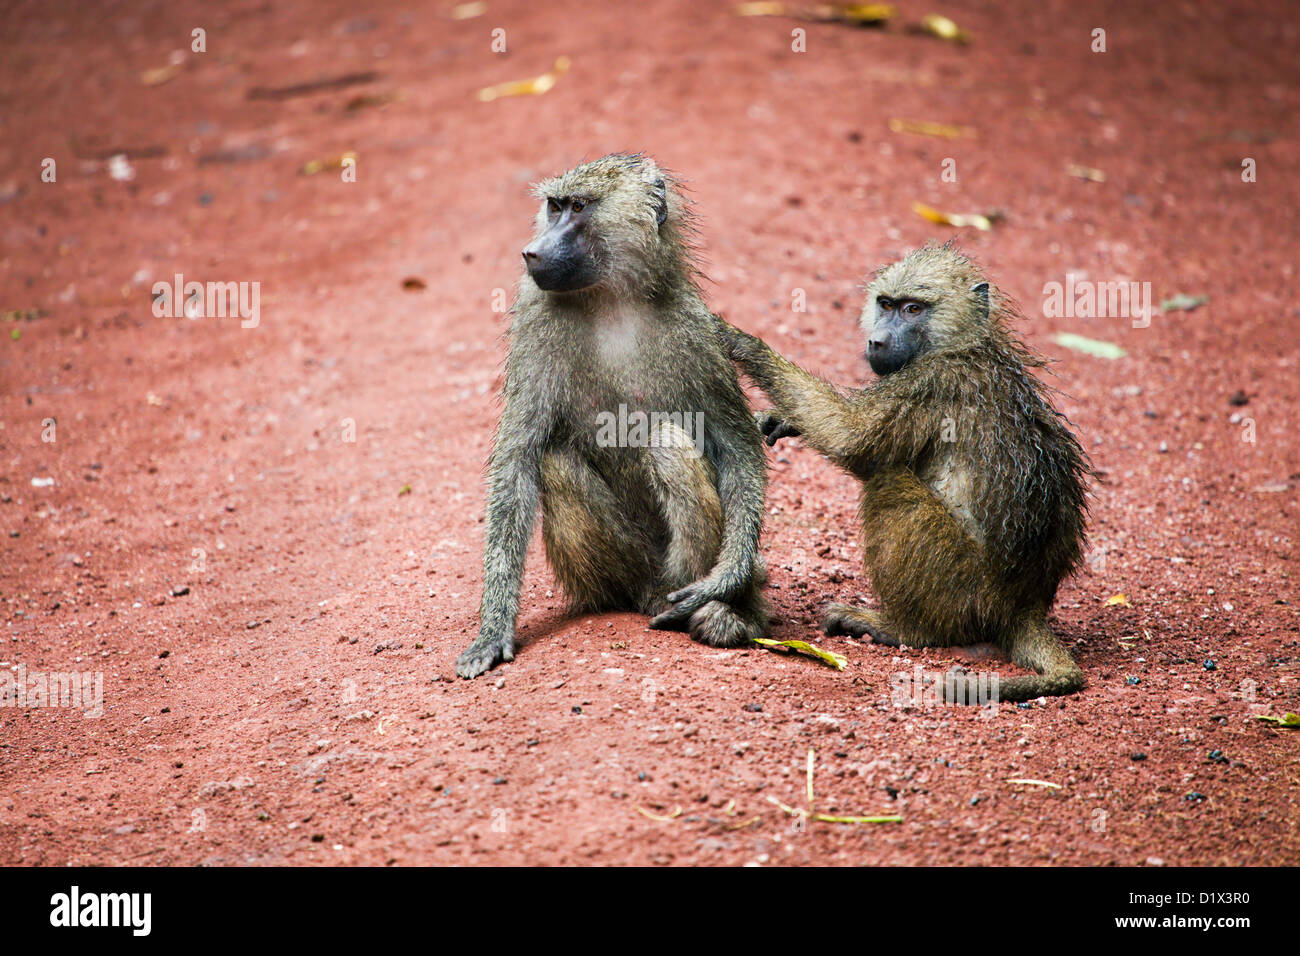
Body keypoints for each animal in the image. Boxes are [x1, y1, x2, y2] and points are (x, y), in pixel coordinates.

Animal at [455, 154, 769, 679]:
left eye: (579, 207)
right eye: (554, 206)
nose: (531, 252)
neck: (612, 298)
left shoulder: (699, 329)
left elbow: (738, 449)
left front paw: (724, 580)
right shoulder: (535, 319)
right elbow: (519, 460)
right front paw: (493, 628)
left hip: (675, 570)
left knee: (665, 443)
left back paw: (721, 612)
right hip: (621, 573)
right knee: (556, 461)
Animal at [719, 241, 1092, 702]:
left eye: (914, 309)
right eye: (886, 304)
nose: (877, 340)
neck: (964, 342)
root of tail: (1024, 604)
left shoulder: (931, 382)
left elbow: (852, 440)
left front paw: (737, 340)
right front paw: (783, 418)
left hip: (966, 588)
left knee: (889, 485)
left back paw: (901, 628)